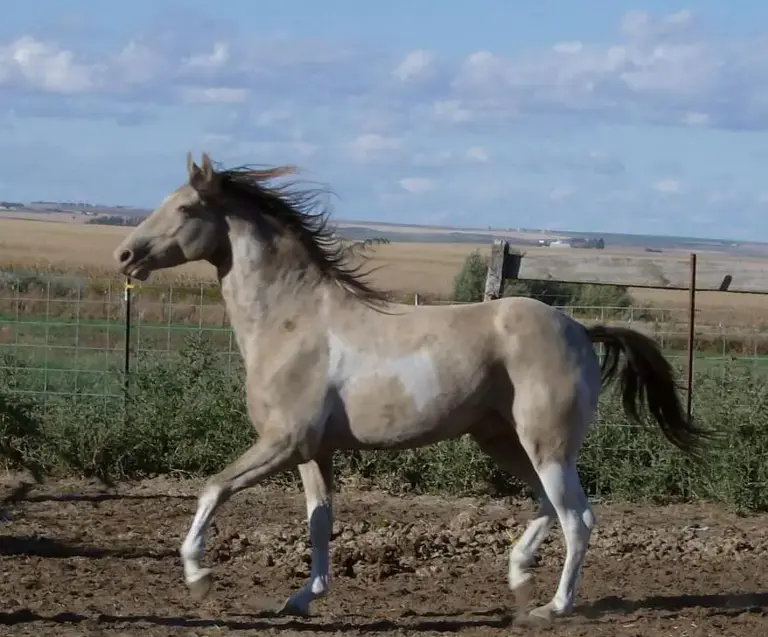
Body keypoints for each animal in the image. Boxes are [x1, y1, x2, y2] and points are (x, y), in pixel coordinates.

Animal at [112, 152, 707, 623]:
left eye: (184, 209)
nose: (124, 255)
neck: (292, 321)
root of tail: (580, 330)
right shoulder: (313, 451)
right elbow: (319, 521)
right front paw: (303, 598)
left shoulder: (283, 442)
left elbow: (212, 488)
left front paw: (198, 577)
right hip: (501, 441)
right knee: (546, 504)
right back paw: (517, 576)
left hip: (548, 445)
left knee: (577, 518)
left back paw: (552, 607)